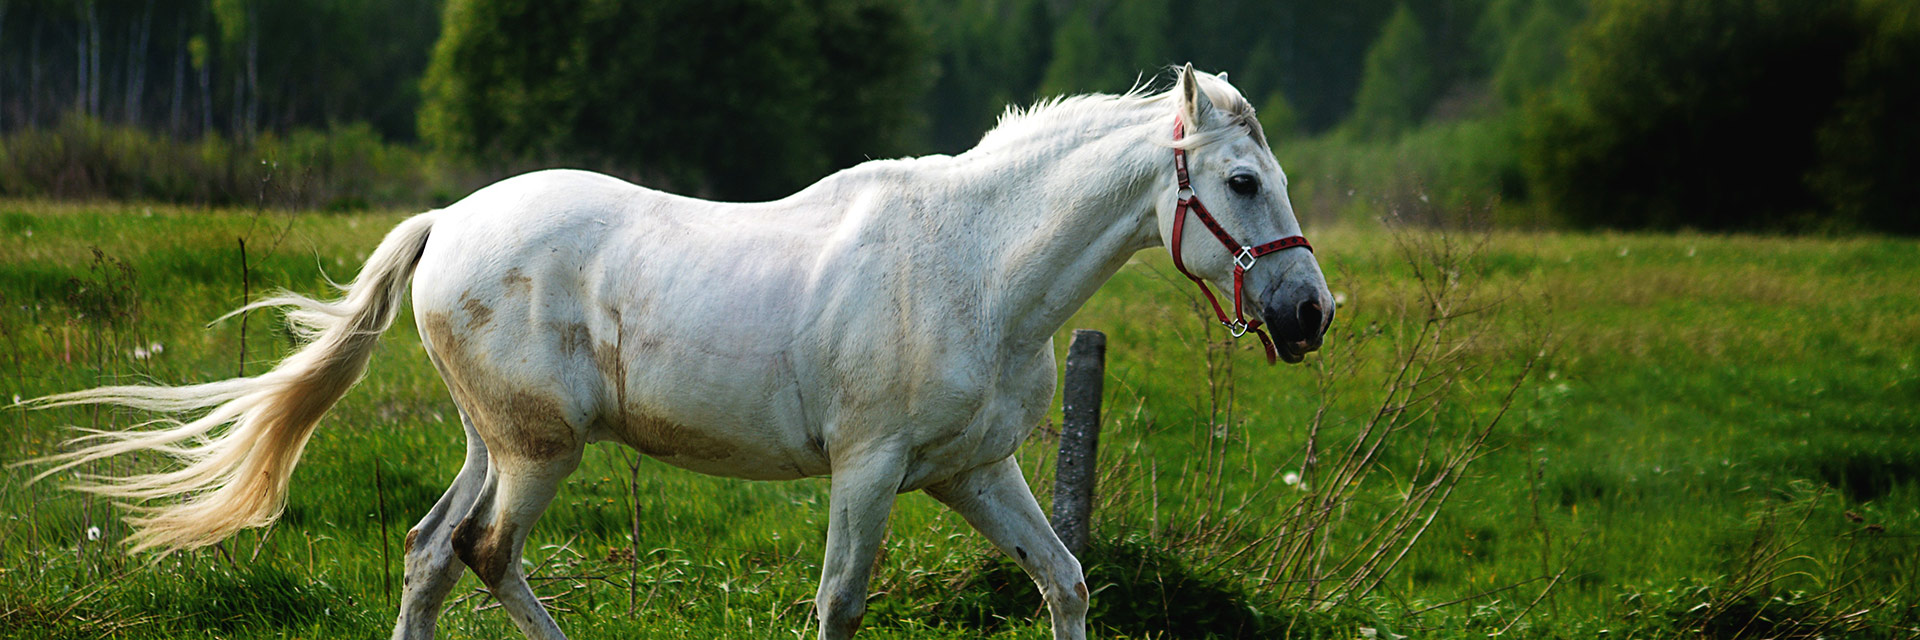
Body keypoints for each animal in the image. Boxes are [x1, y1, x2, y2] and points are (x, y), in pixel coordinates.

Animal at [24, 65, 1332, 640]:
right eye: (1241, 181)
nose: (1310, 315)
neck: (974, 265)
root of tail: (445, 221)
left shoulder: (975, 470)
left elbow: (1063, 582)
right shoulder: (868, 471)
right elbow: (840, 601)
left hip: (496, 439)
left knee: (433, 552)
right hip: (540, 451)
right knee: (486, 552)